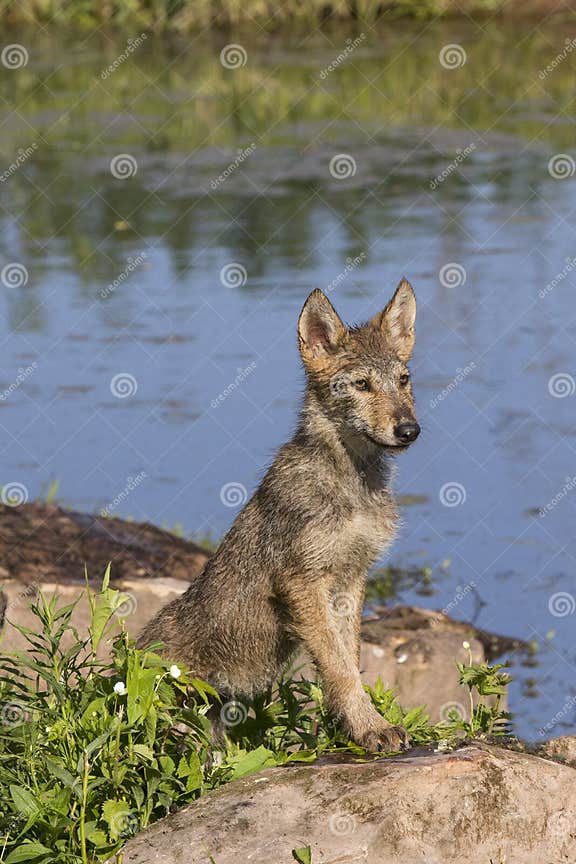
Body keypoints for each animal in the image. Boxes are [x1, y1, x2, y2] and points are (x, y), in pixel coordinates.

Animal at [138, 278, 420, 751]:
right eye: (362, 384)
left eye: (403, 380)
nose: (409, 430)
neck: (354, 480)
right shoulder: (301, 581)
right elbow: (340, 668)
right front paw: (371, 728)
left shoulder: (351, 577)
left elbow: (347, 658)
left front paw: (348, 727)